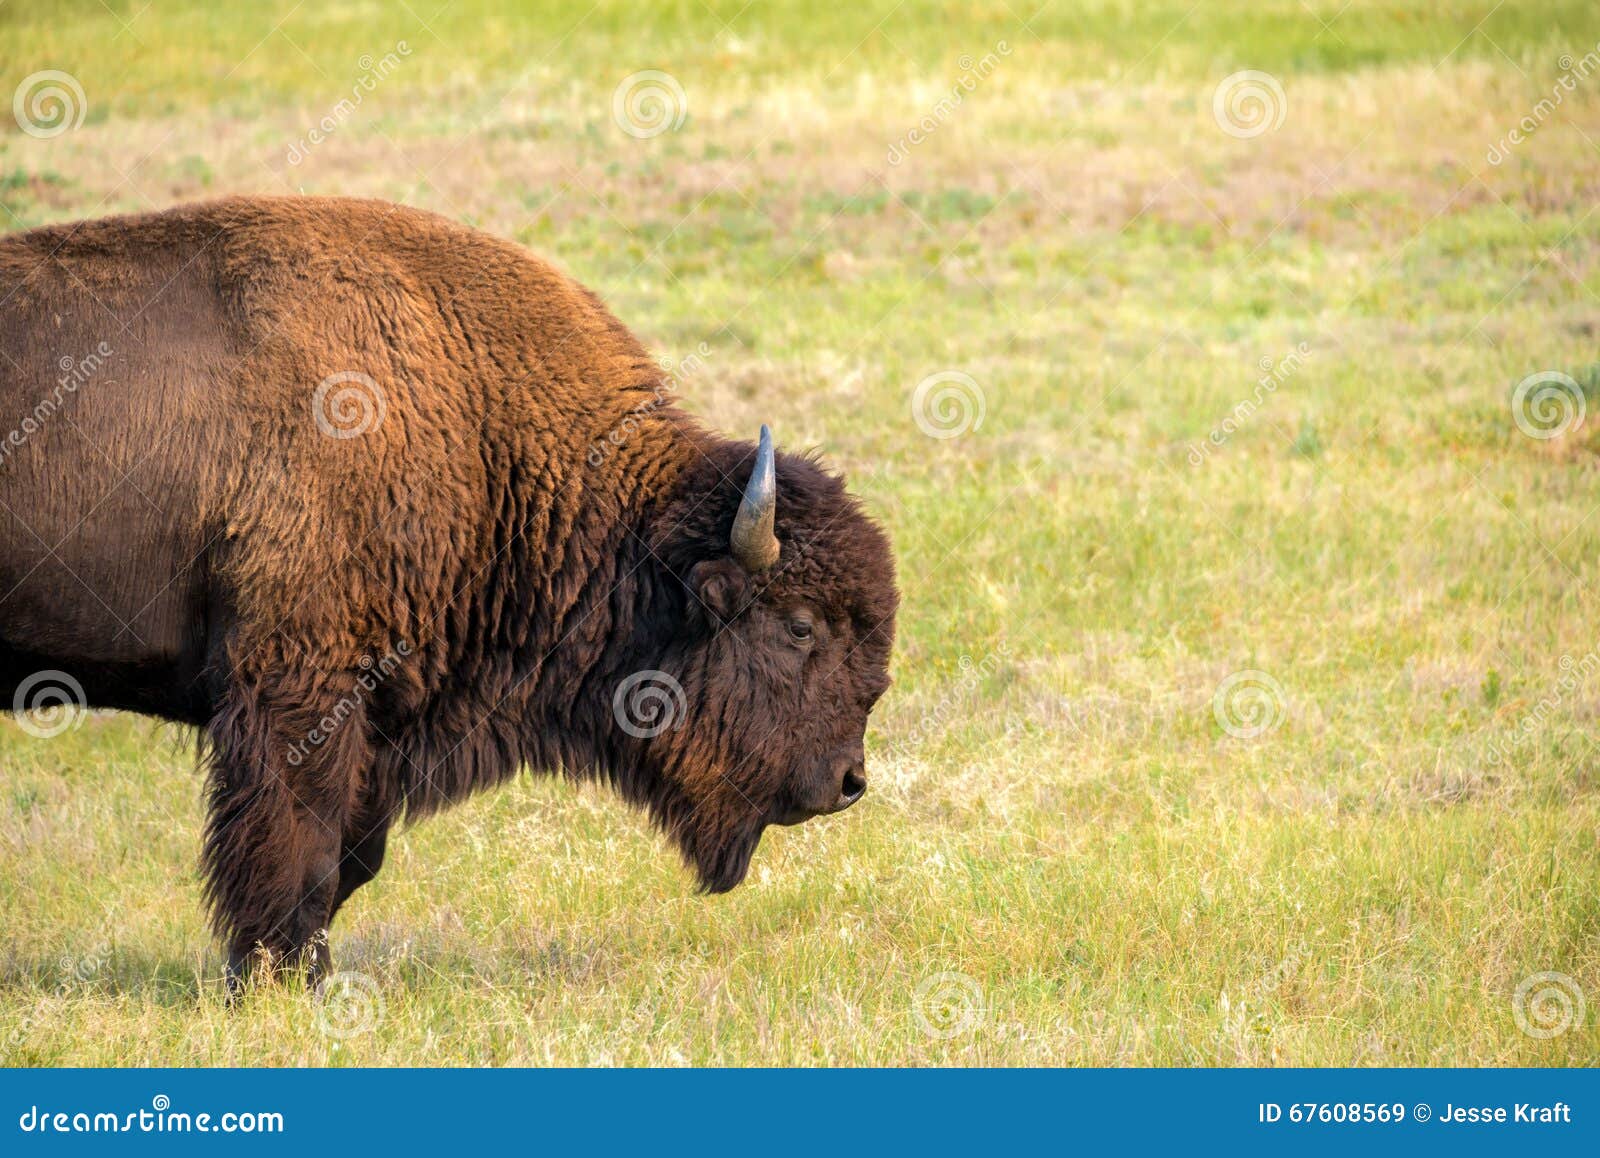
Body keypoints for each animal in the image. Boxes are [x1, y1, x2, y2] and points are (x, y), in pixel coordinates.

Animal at [0, 197, 898, 986]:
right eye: (799, 626)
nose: (849, 782)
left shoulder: (376, 722)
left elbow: (352, 860)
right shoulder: (297, 694)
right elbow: (298, 854)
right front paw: (274, 984)